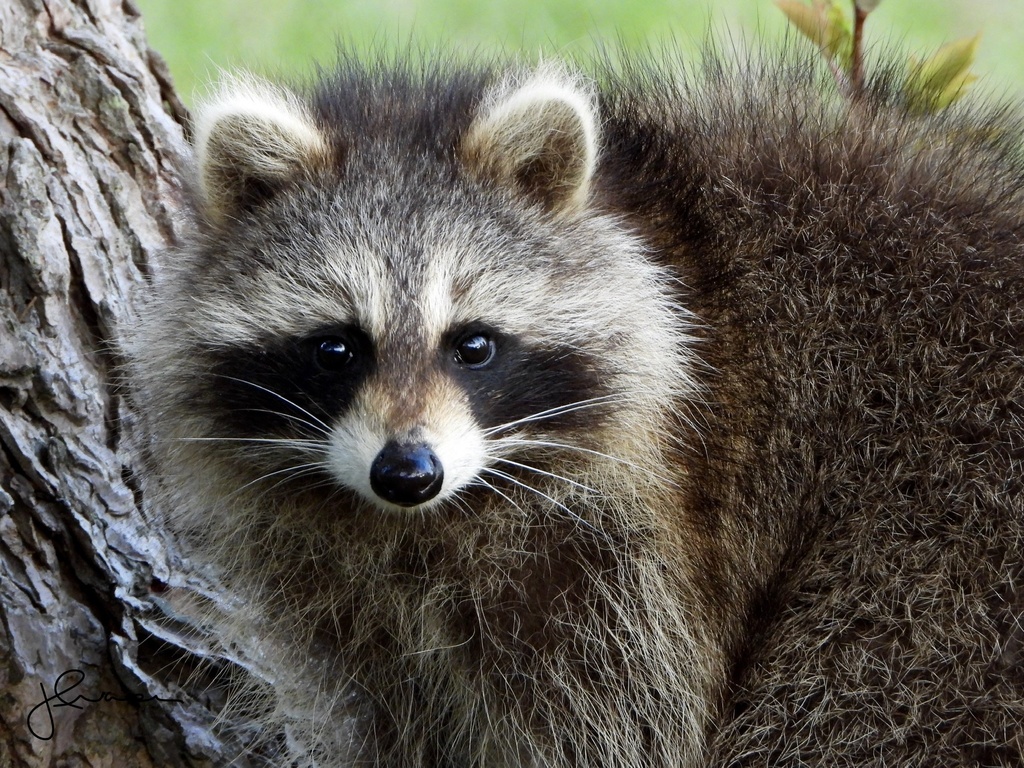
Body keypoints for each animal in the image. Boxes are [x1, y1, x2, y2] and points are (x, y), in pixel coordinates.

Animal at [128, 52, 1024, 767]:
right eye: (337, 349)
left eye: (473, 344)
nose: (408, 472)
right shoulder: (351, 603)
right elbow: (392, 716)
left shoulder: (630, 557)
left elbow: (618, 727)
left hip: (932, 559)